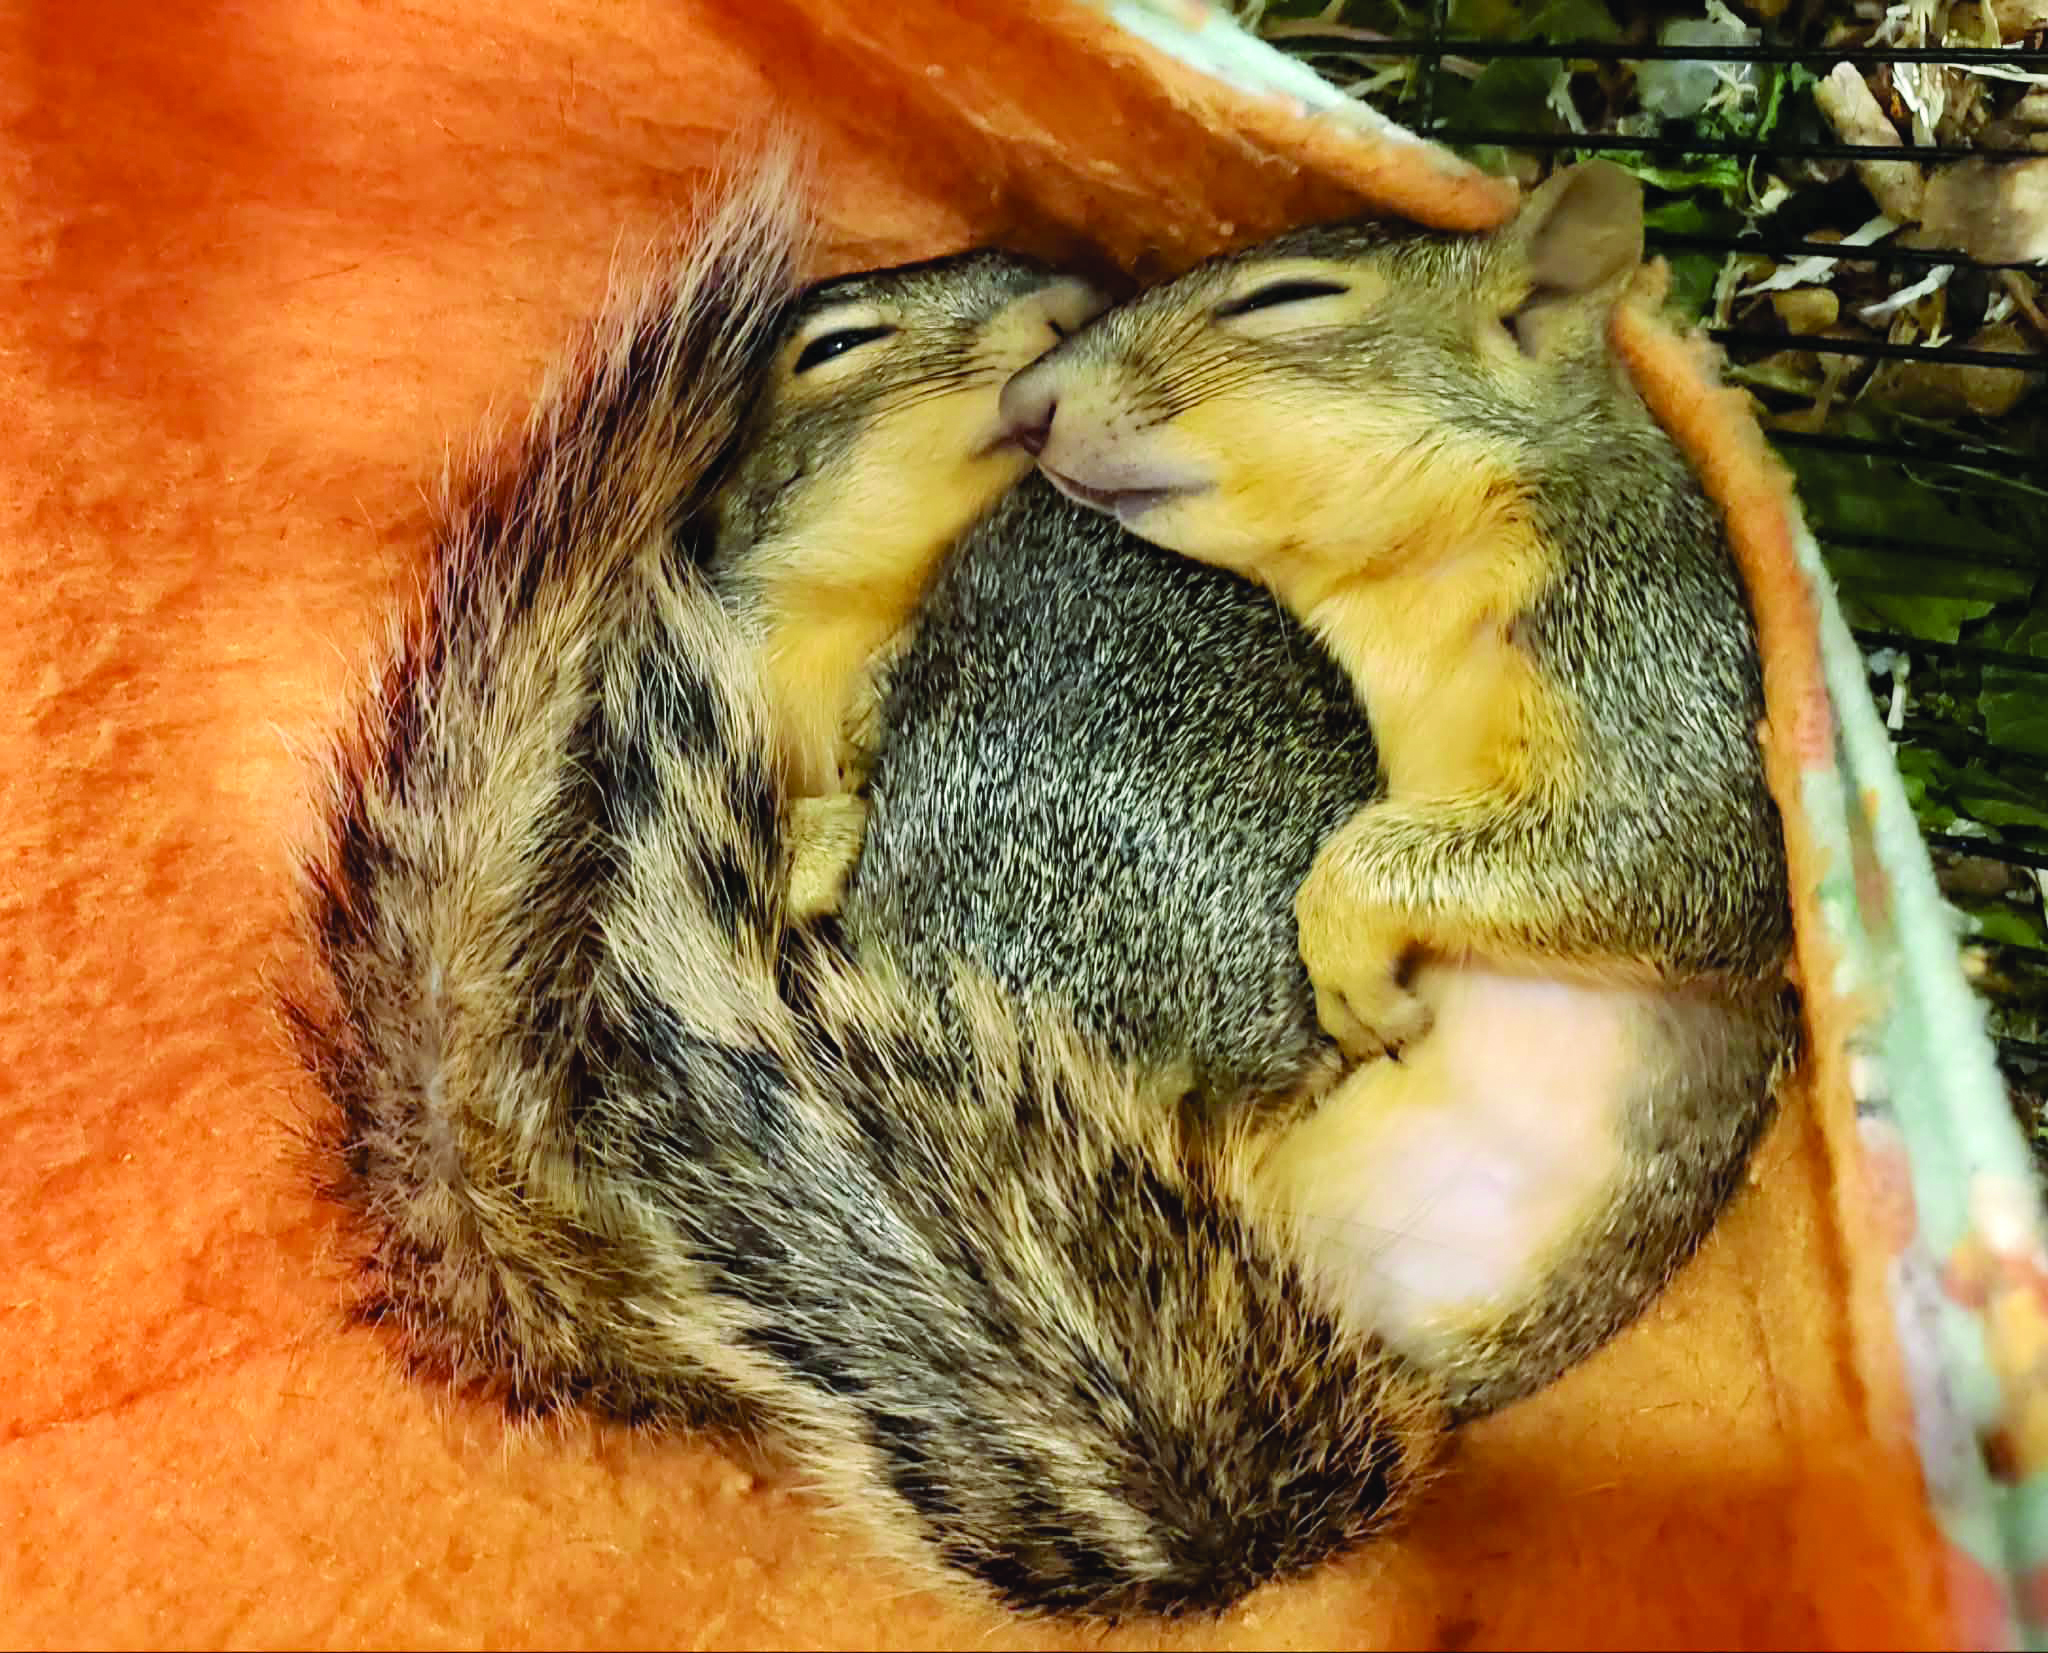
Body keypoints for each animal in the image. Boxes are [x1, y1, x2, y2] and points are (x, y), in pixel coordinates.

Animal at [998, 160, 1801, 1412]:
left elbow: (1644, 854)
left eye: (1286, 297)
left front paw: (1350, 961)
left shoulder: (1649, 665)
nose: (1022, 403)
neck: (1404, 591)